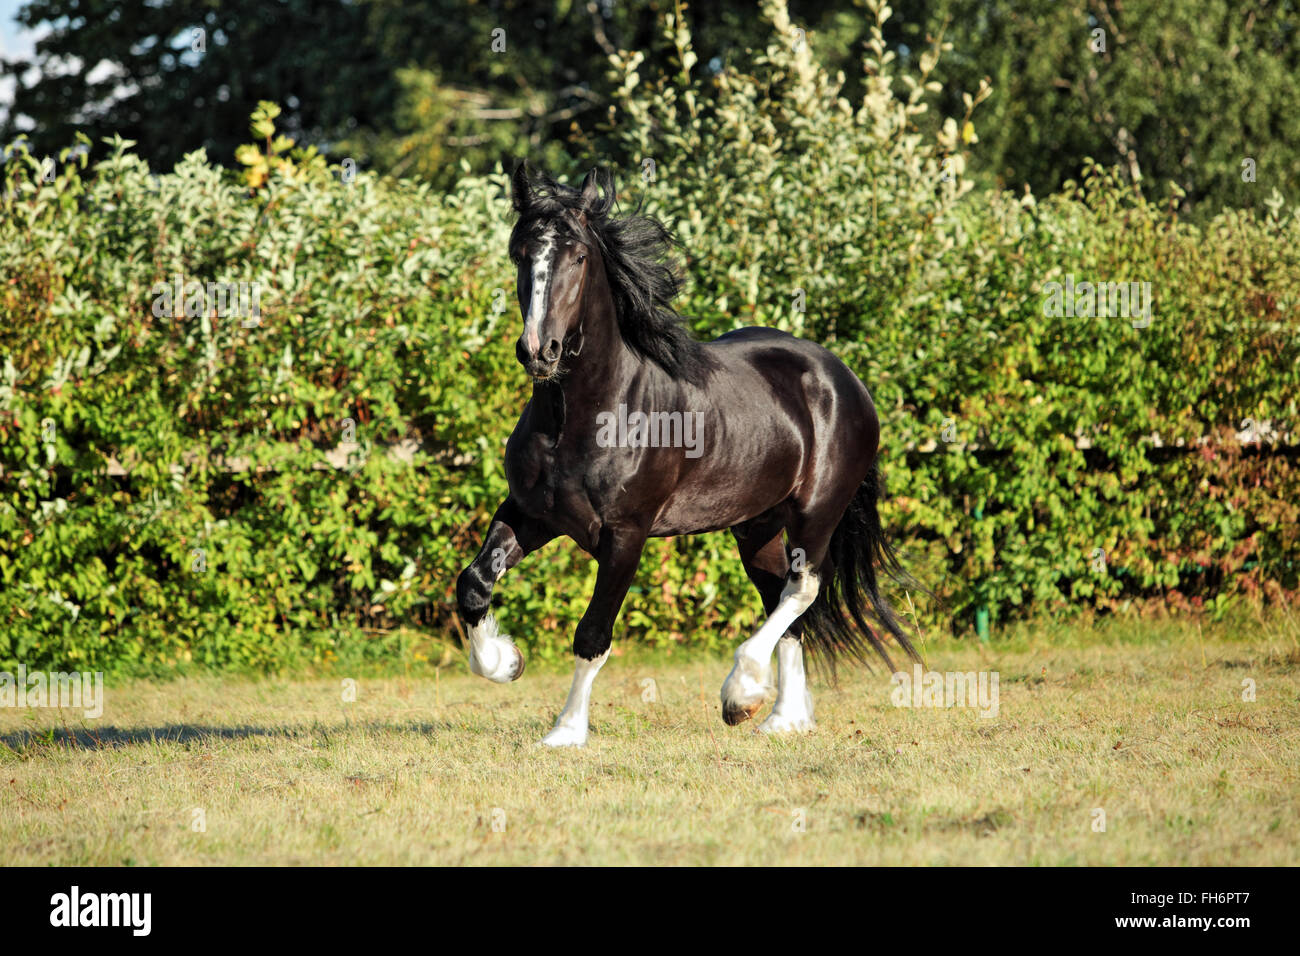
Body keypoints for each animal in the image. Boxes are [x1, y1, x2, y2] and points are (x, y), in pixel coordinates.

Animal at [455, 163, 922, 746]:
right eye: (520, 253)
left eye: (578, 256)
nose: (540, 352)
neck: (580, 419)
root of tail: (843, 377)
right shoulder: (531, 514)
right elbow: (473, 585)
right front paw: (506, 660)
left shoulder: (625, 537)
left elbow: (592, 634)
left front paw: (566, 731)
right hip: (756, 527)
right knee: (783, 601)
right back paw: (781, 719)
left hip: (817, 512)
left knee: (803, 589)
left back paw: (741, 692)